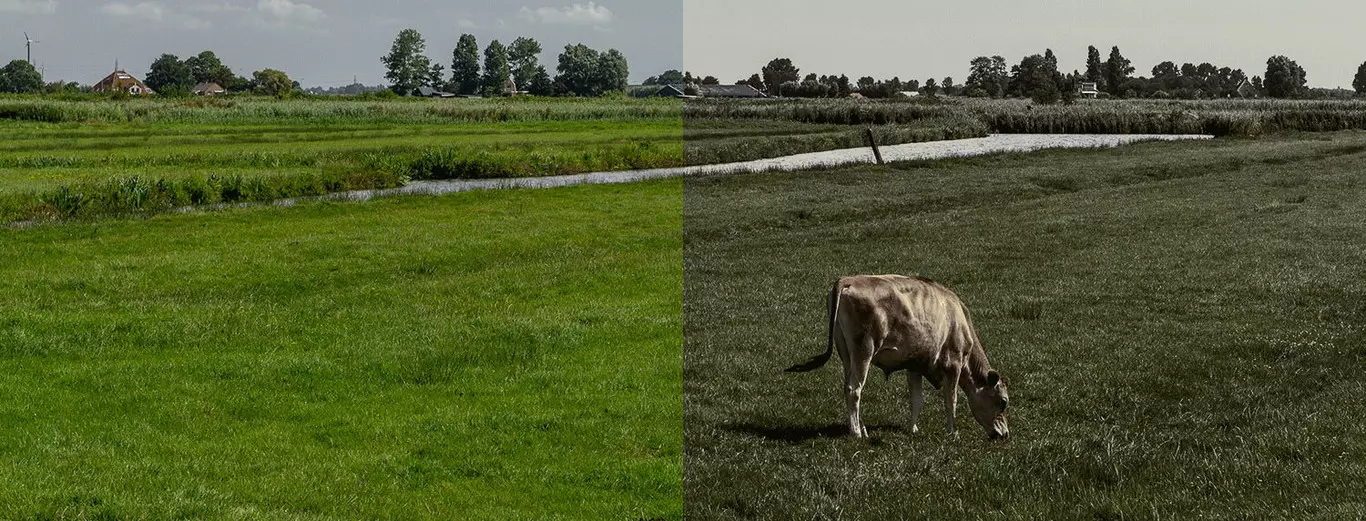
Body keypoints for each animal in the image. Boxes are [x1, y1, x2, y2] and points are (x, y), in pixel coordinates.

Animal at [786, 276, 1010, 437]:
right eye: (1003, 402)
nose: (1005, 433)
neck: (958, 319)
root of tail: (847, 280)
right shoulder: (952, 363)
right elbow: (951, 400)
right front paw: (953, 433)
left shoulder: (916, 364)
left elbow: (917, 399)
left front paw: (913, 429)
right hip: (863, 351)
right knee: (854, 389)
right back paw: (856, 432)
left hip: (846, 353)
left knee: (847, 387)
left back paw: (860, 427)